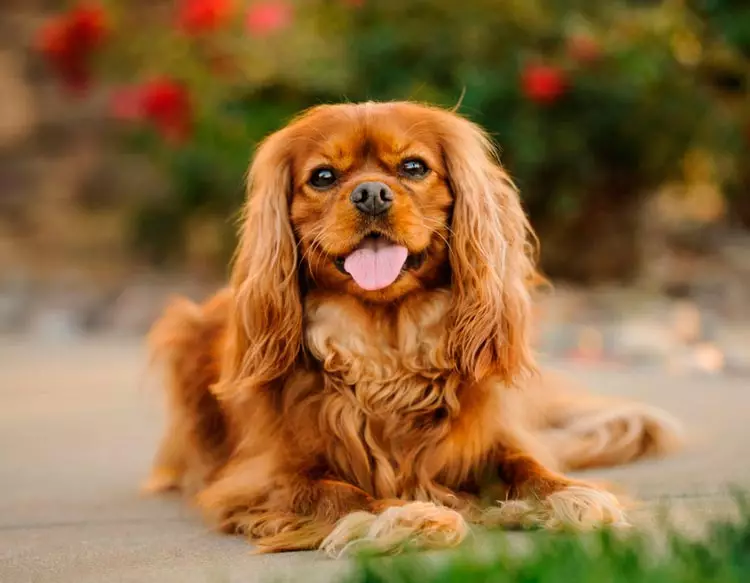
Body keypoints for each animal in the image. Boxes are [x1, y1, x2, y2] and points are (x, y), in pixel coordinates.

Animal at [142, 100, 688, 556]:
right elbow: (335, 492)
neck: (386, 342)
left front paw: (569, 494)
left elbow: (526, 463)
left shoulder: (486, 438)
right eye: (323, 176)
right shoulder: (260, 476)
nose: (371, 193)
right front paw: (402, 515)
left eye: (413, 168)